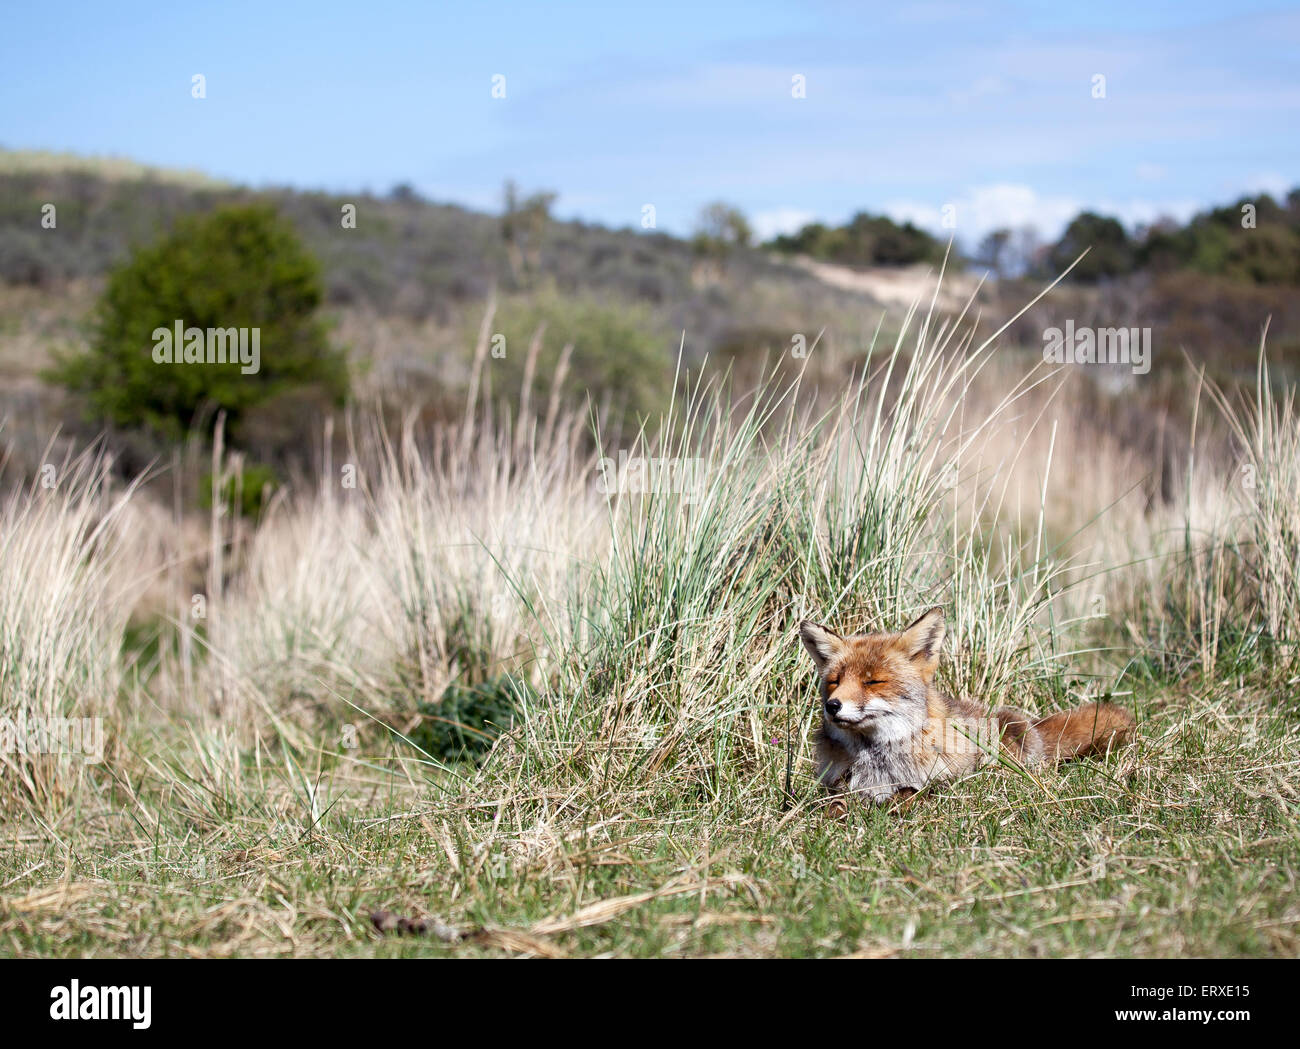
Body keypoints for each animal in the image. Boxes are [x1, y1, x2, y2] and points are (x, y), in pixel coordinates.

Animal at [799, 607, 1134, 809]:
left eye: (872, 681)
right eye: (835, 681)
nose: (832, 706)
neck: (879, 761)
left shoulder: (944, 780)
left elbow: (911, 793)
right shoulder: (836, 786)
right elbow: (834, 804)